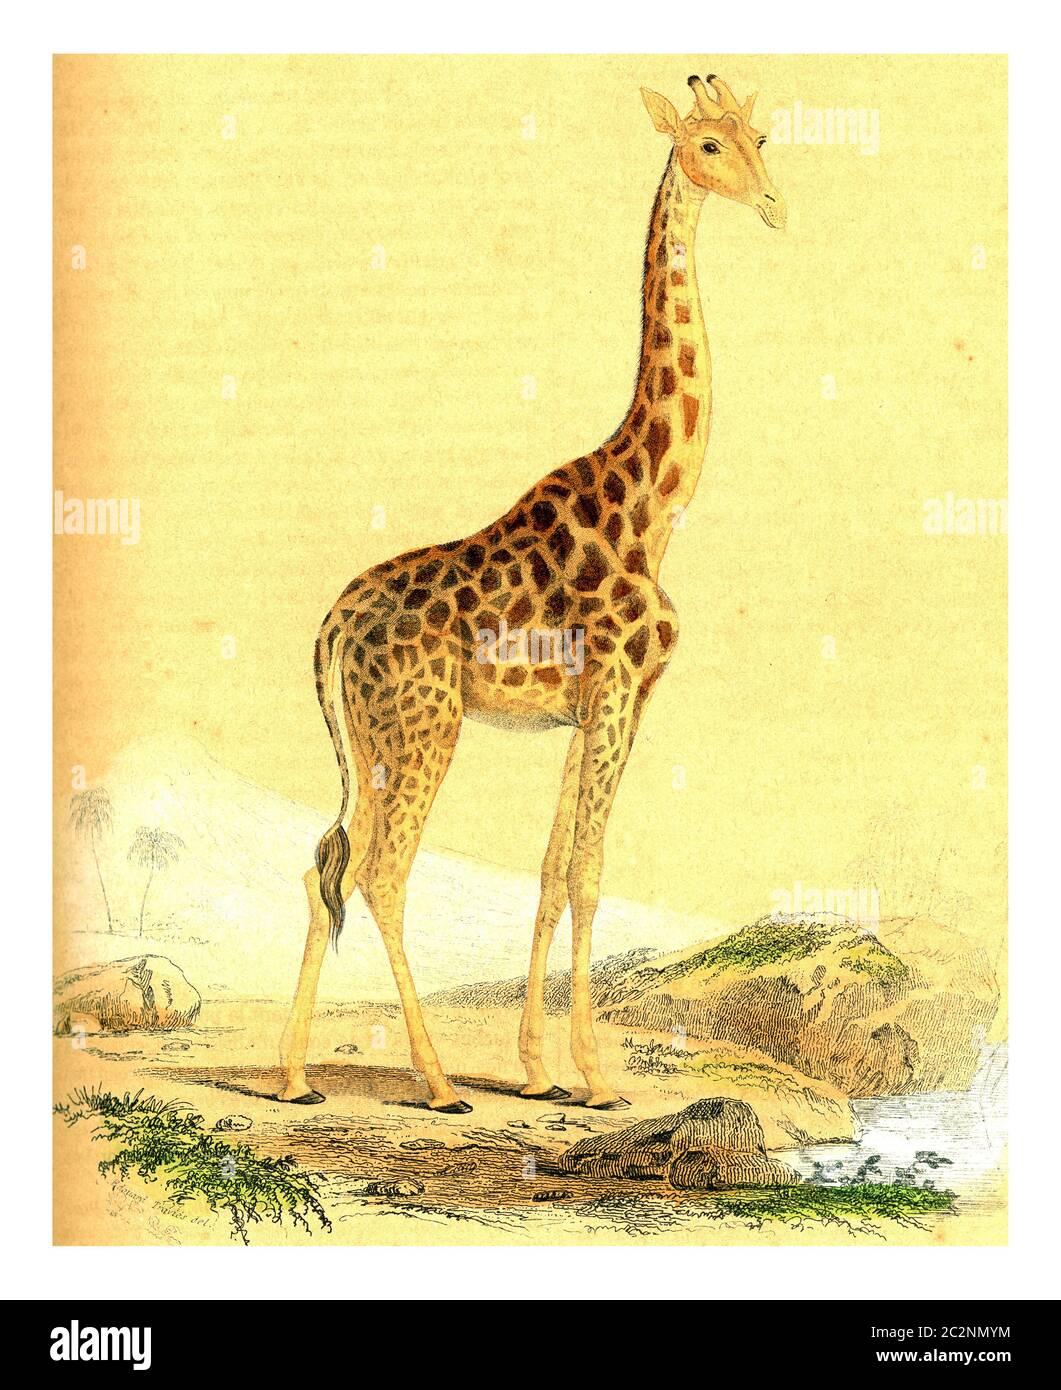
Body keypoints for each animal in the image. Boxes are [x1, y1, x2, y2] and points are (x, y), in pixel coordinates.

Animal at [279, 74, 786, 1113]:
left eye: (757, 138)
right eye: (706, 146)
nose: (771, 205)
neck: (654, 505)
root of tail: (334, 623)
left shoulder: (589, 708)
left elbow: (554, 870)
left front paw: (540, 1071)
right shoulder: (621, 694)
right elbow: (588, 872)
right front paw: (593, 1078)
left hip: (371, 738)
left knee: (326, 867)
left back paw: (296, 1078)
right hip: (425, 726)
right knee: (383, 875)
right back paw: (436, 1084)